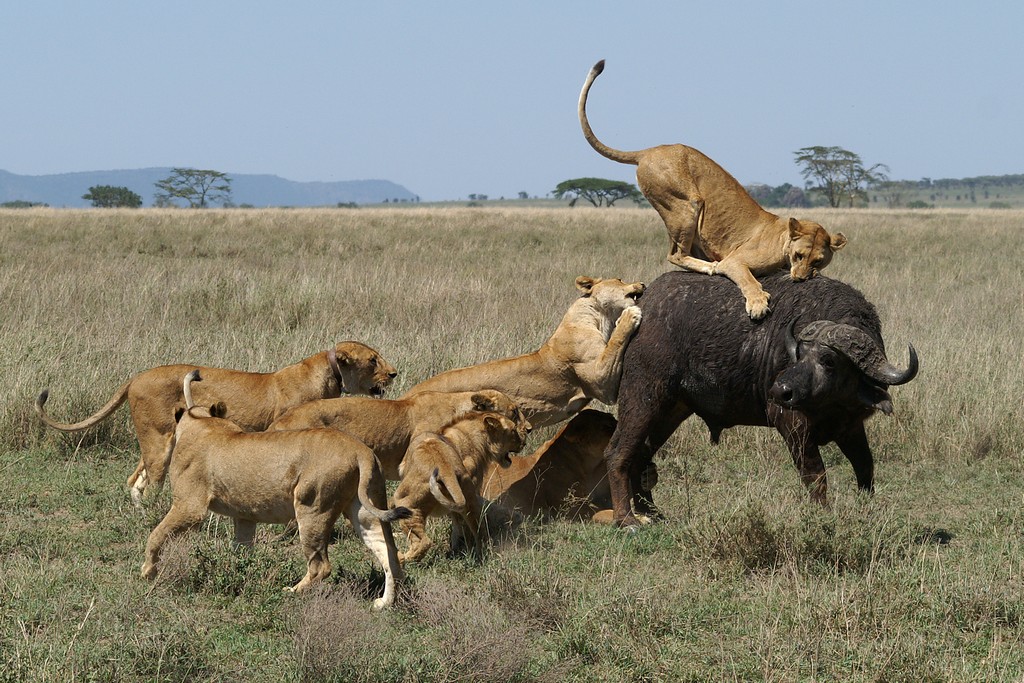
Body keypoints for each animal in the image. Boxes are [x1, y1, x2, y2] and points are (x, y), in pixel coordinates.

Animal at [35, 340, 397, 504]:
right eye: (373, 360)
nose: (394, 373)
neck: (330, 374)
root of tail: (137, 376)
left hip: (158, 440)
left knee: (134, 479)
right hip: (159, 440)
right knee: (150, 482)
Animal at [141, 371, 410, 609]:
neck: (203, 422)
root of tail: (360, 451)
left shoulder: (189, 506)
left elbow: (156, 534)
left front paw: (148, 572)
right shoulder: (244, 517)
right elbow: (241, 550)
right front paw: (238, 573)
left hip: (312, 507)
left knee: (321, 566)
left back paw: (291, 592)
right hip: (365, 509)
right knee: (389, 553)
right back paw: (384, 603)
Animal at [391, 409, 530, 563]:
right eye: (513, 430)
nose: (524, 443)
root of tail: (445, 467)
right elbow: (459, 526)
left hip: (405, 501)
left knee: (423, 542)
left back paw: (402, 558)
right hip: (470, 502)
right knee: (479, 531)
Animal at [402, 276, 645, 428]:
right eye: (620, 279)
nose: (642, 283)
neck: (598, 317)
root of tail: (406, 397)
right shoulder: (601, 384)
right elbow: (615, 343)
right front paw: (630, 315)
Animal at [579, 59, 847, 319]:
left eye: (818, 261)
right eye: (799, 255)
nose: (800, 279)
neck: (783, 241)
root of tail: (648, 151)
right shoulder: (736, 261)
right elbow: (749, 280)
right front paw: (758, 304)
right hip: (687, 203)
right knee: (675, 255)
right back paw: (710, 266)